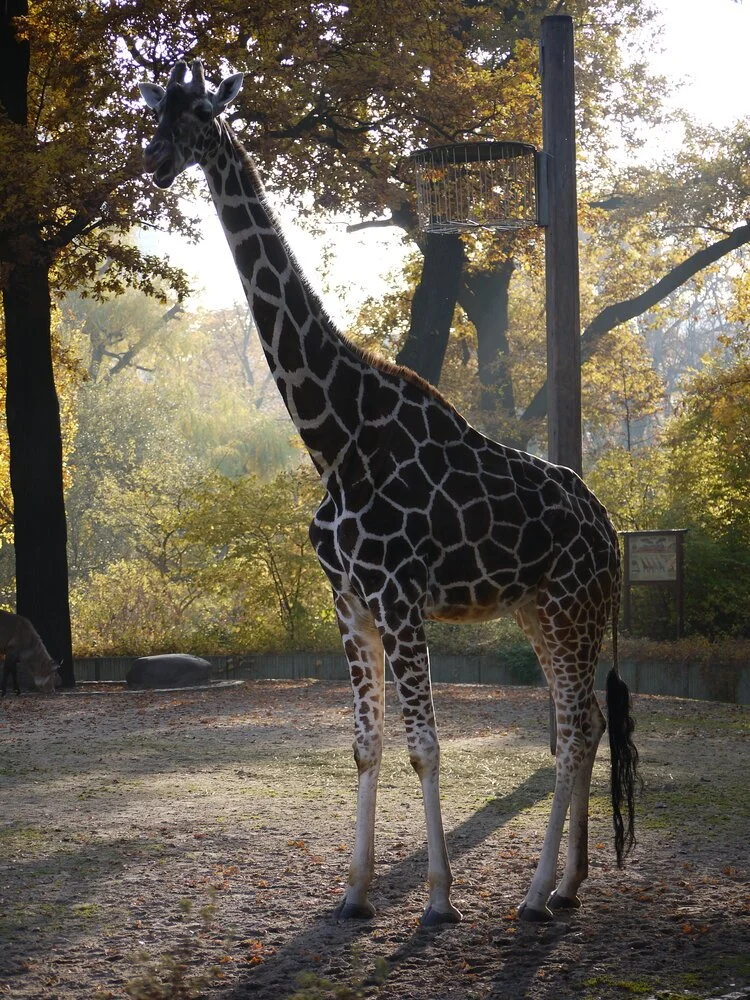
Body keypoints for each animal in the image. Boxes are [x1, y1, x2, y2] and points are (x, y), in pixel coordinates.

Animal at [140, 60, 639, 923]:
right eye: (157, 114)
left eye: (199, 111)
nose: (157, 160)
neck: (333, 434)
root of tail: (609, 529)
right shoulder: (348, 597)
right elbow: (366, 744)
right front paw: (354, 890)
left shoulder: (399, 594)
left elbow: (426, 747)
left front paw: (438, 897)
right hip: (540, 610)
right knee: (589, 721)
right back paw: (568, 883)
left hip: (572, 605)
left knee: (576, 728)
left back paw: (535, 892)